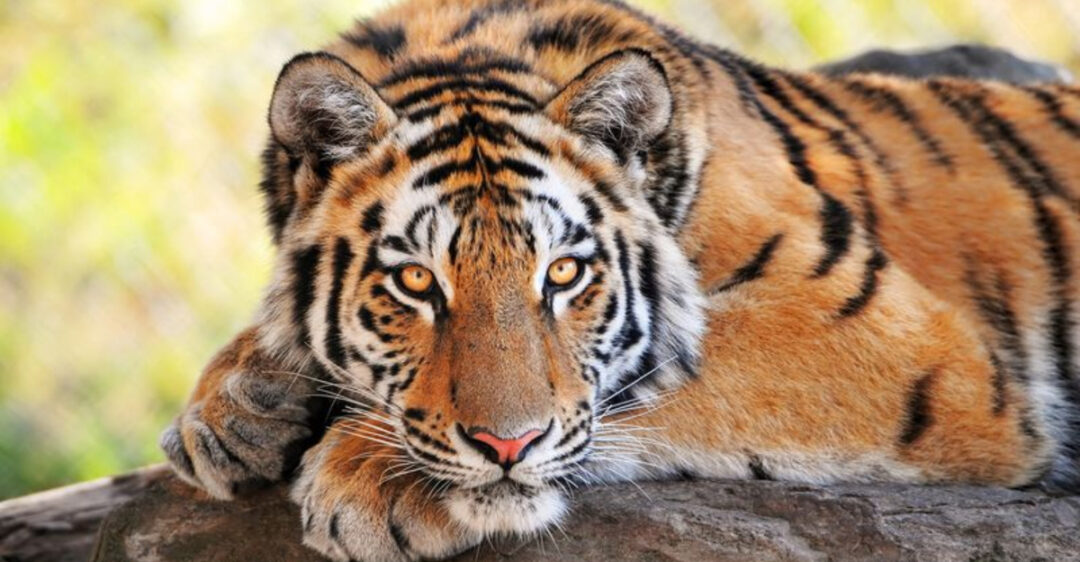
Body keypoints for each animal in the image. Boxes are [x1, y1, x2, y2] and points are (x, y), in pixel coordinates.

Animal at [158, 0, 1080, 560]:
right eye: (416, 283)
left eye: (564, 273)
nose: (506, 449)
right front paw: (234, 407)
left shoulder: (891, 337)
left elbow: (653, 380)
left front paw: (371, 476)